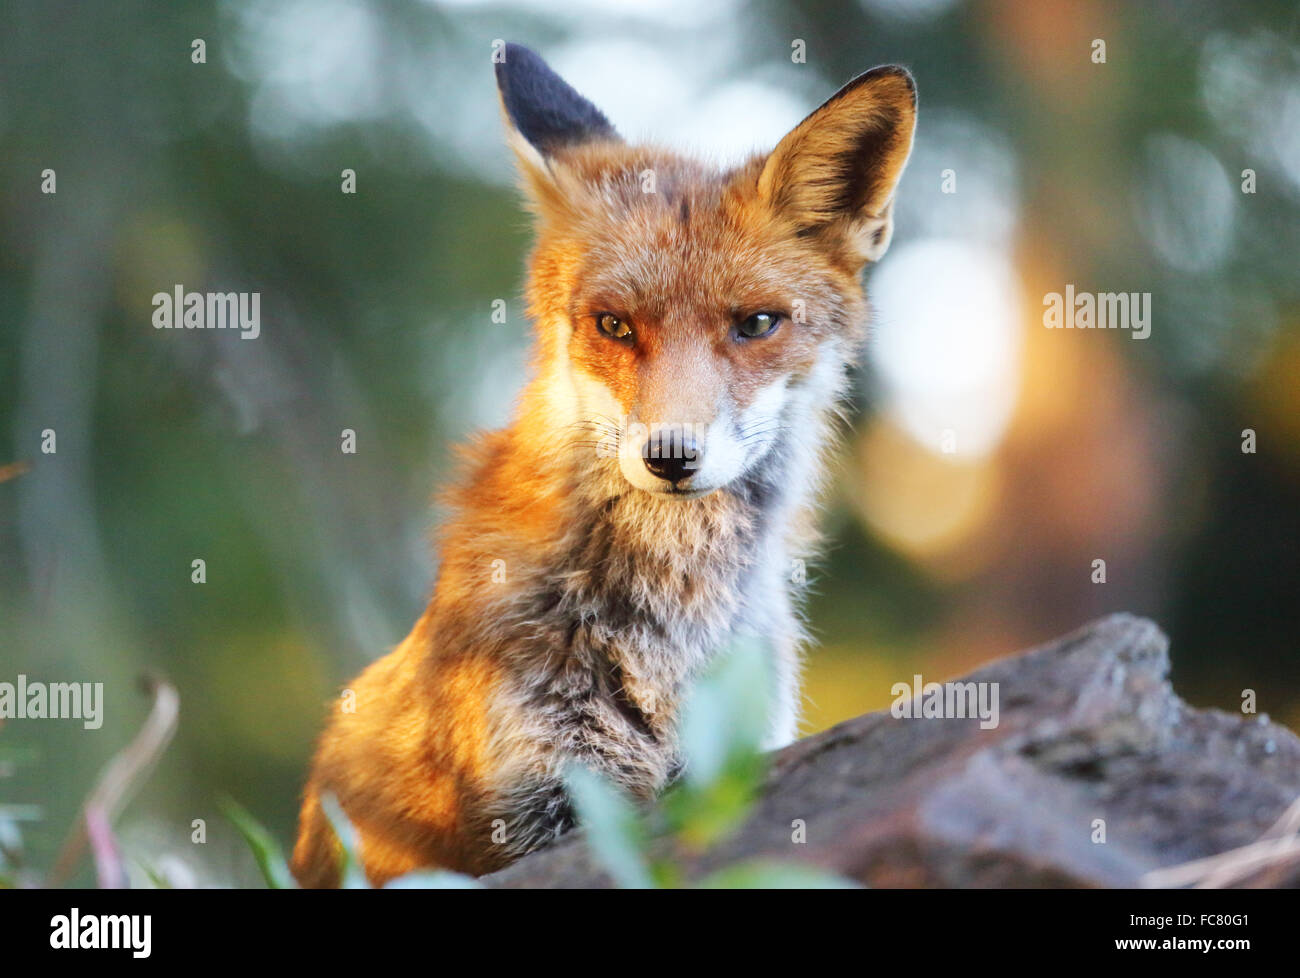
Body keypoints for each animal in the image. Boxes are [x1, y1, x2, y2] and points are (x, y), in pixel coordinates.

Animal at [291, 42, 916, 887]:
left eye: (757, 324)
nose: (671, 455)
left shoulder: (726, 769)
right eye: (613, 325)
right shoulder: (546, 799)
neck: (672, 622)